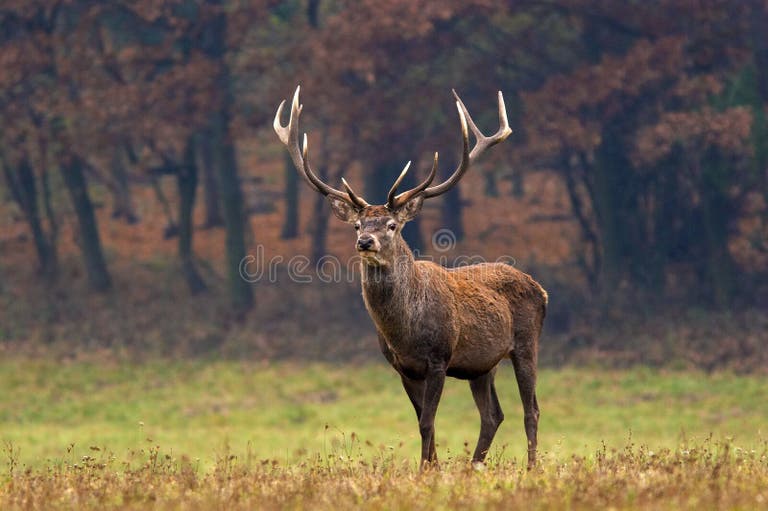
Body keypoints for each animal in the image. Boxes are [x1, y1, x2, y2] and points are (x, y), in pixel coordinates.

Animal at [273, 86, 547, 469]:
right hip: (482, 365)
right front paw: (432, 467)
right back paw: (473, 466)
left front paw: (425, 469)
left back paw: (531, 467)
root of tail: (541, 289)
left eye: (391, 225)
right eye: (357, 225)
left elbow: (428, 422)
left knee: (531, 409)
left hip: (526, 342)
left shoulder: (439, 358)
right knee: (493, 414)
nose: (365, 241)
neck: (405, 332)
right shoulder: (402, 367)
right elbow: (422, 421)